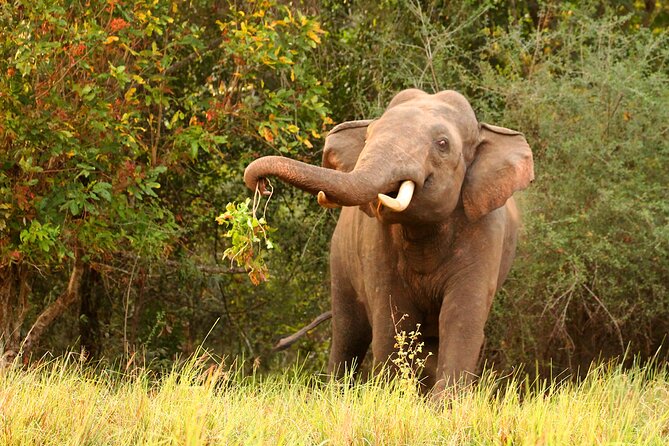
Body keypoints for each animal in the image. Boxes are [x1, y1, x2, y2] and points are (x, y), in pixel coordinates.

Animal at [244, 89, 534, 398]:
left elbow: (461, 316)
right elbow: (393, 315)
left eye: (443, 144)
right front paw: (393, 397)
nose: (261, 184)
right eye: (368, 135)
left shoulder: (485, 232)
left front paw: (444, 405)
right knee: (349, 331)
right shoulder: (376, 241)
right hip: (340, 259)